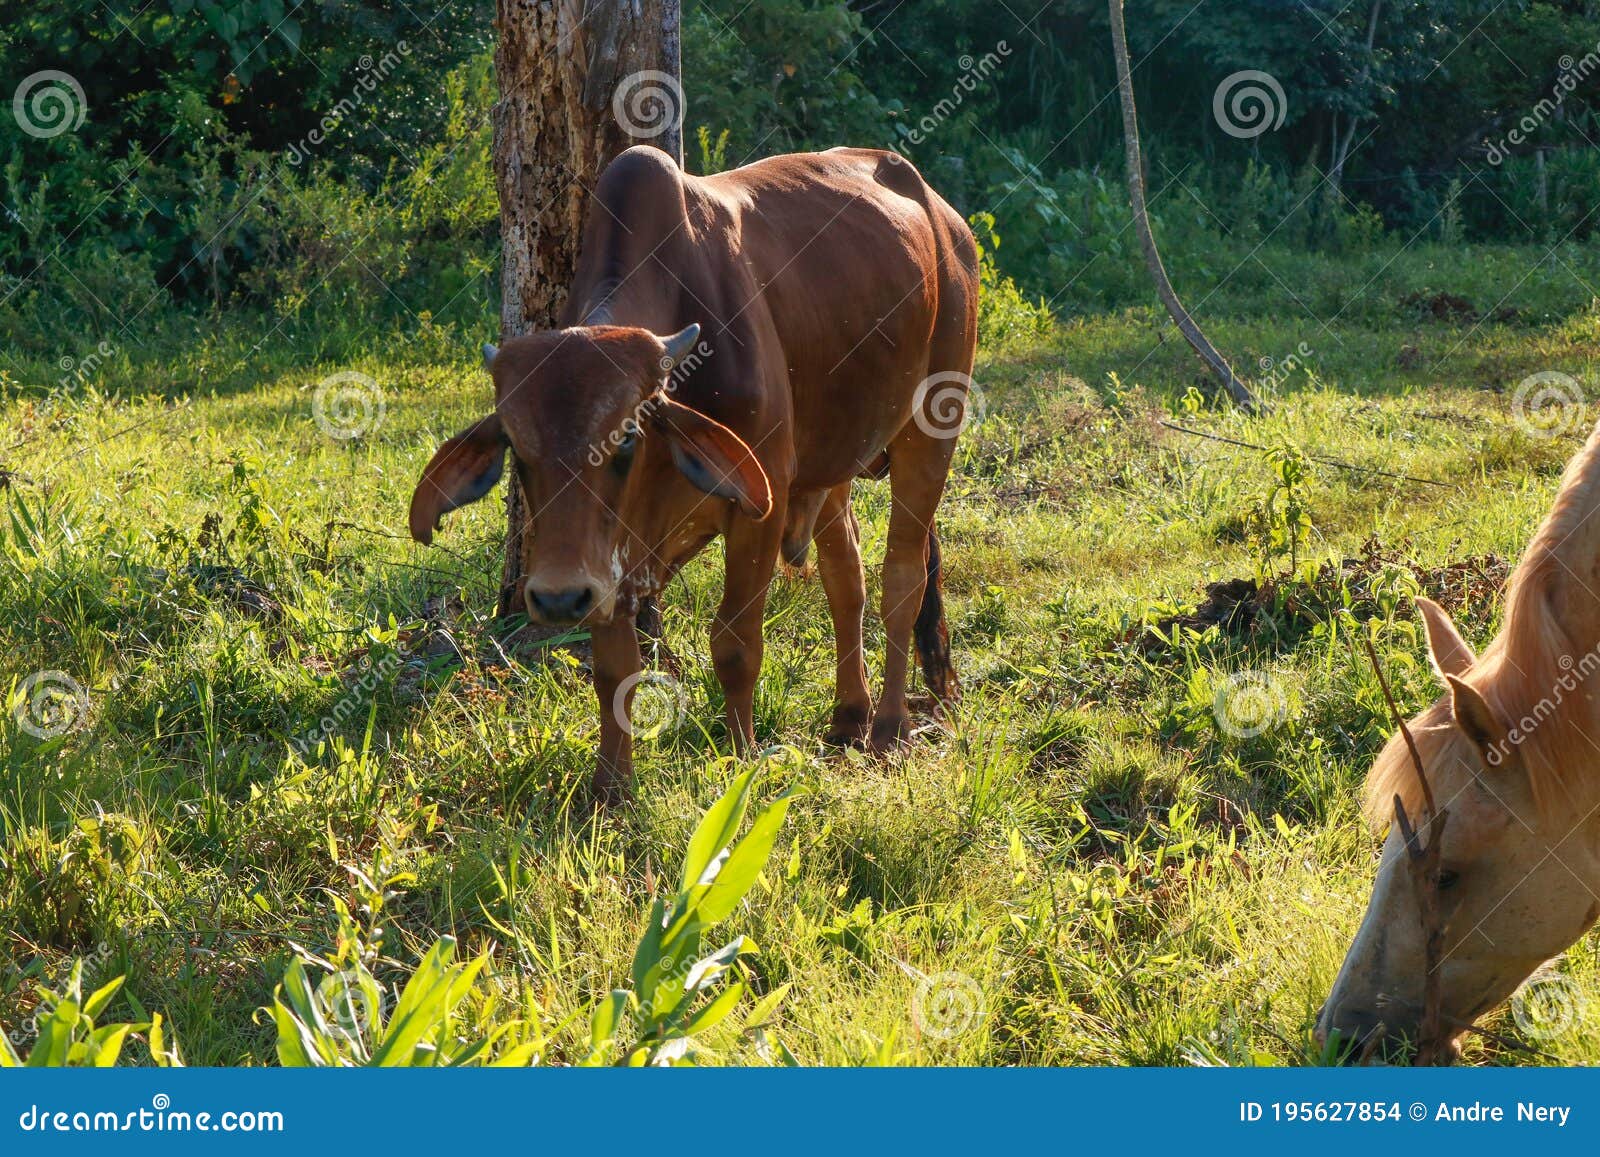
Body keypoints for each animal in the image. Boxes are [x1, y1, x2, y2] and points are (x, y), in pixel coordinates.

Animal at [408, 145, 979, 802]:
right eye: (517, 451)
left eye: (626, 438)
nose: (554, 597)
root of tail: (945, 219)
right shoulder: (608, 557)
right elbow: (615, 670)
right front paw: (611, 785)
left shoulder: (760, 510)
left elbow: (735, 645)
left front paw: (742, 757)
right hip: (828, 463)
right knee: (847, 580)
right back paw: (848, 719)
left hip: (931, 431)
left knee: (901, 579)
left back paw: (887, 726)